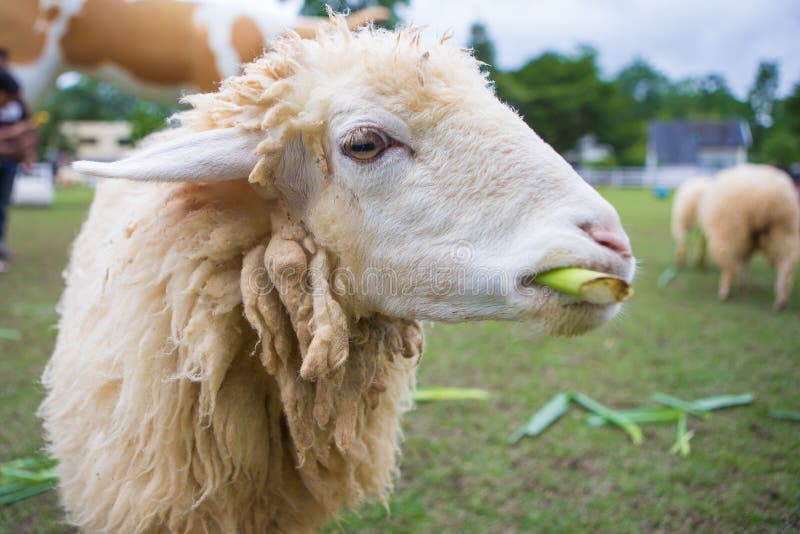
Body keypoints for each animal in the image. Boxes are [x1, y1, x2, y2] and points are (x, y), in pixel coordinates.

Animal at [698, 164, 800, 311]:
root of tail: (768, 198)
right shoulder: (747, 244)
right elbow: (744, 263)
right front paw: (743, 286)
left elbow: (739, 263)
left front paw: (738, 287)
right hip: (782, 233)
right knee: (785, 265)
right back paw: (781, 301)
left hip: (729, 233)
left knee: (728, 266)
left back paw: (724, 292)